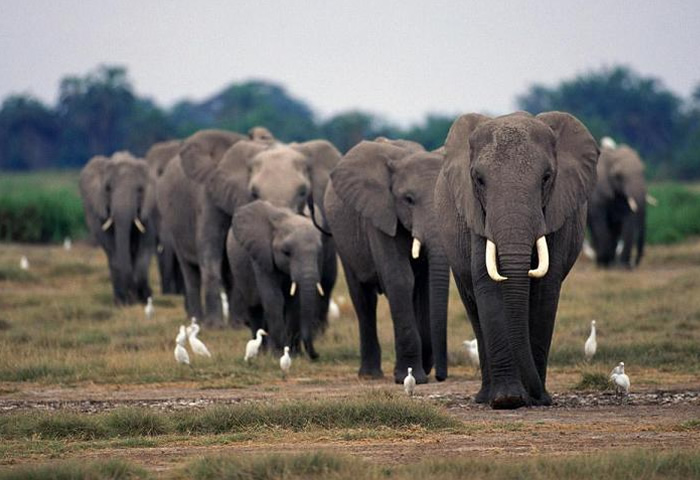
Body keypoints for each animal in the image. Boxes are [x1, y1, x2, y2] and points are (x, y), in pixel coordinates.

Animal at [79, 151, 158, 305]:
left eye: (140, 190)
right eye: (108, 188)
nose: (131, 296)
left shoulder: (150, 208)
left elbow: (145, 246)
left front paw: (144, 298)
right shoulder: (99, 210)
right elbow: (111, 247)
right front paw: (122, 302)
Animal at [158, 127, 341, 327]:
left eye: (303, 192)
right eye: (254, 193)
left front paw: (239, 325)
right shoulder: (210, 196)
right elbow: (210, 252)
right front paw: (216, 326)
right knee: (191, 271)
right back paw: (197, 321)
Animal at [226, 200, 336, 358]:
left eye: (319, 252)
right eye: (286, 253)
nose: (316, 355)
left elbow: (295, 303)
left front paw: (295, 354)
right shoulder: (261, 255)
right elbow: (273, 299)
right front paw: (278, 354)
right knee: (255, 307)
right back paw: (262, 353)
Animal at [324, 140, 449, 384]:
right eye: (408, 200)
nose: (441, 376)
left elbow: (425, 284)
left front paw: (420, 372)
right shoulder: (380, 214)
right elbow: (400, 278)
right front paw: (411, 377)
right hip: (342, 240)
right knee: (363, 299)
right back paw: (369, 374)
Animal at [434, 111, 599, 409]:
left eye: (546, 178)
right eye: (479, 180)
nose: (539, 395)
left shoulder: (557, 212)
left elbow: (545, 288)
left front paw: (536, 399)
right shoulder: (477, 216)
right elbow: (487, 281)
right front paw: (507, 400)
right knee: (474, 309)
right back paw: (484, 397)